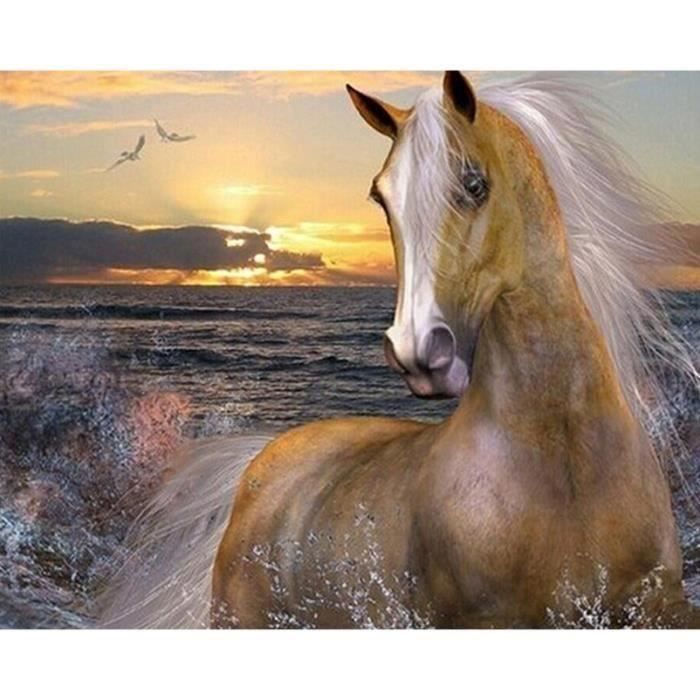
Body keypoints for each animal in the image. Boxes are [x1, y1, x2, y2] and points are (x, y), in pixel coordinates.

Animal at [98, 71, 700, 629]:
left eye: (475, 184)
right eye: (379, 197)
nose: (418, 350)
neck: (563, 463)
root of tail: (255, 466)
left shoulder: (658, 605)